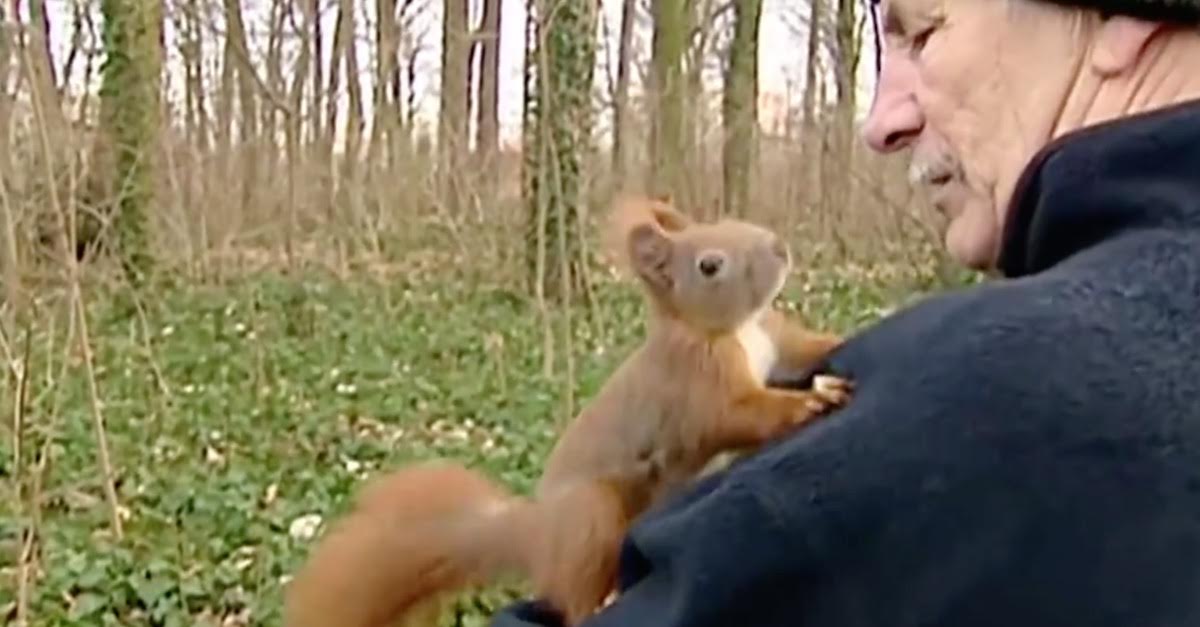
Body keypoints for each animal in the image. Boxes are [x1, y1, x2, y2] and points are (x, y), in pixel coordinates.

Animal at [282, 196, 853, 627]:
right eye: (709, 264)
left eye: (732, 218)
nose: (780, 248)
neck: (735, 330)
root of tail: (537, 535)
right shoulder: (694, 384)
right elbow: (738, 414)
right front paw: (808, 401)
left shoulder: (777, 345)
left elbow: (806, 349)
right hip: (589, 517)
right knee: (574, 598)